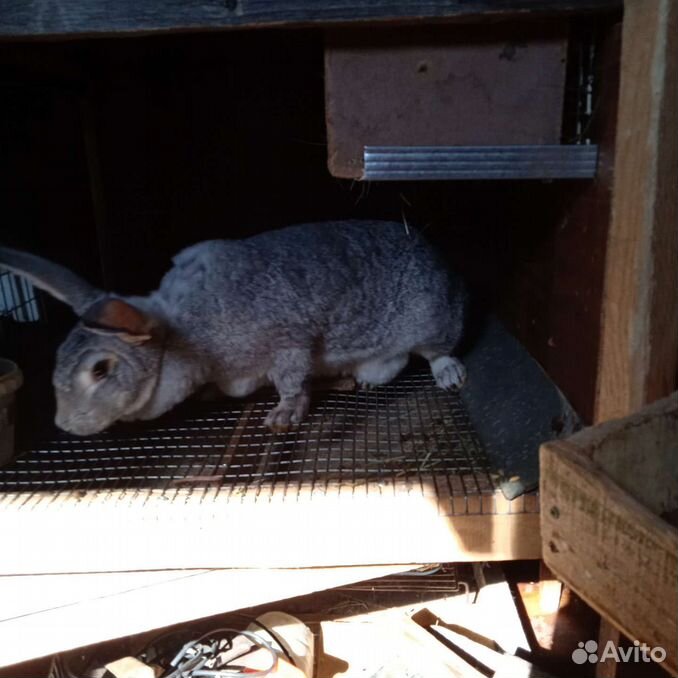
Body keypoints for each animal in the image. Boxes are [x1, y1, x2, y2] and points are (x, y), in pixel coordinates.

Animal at [0, 220, 467, 436]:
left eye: (100, 370)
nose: (63, 424)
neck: (181, 331)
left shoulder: (288, 343)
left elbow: (292, 382)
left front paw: (282, 417)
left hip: (431, 317)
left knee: (437, 350)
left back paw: (450, 374)